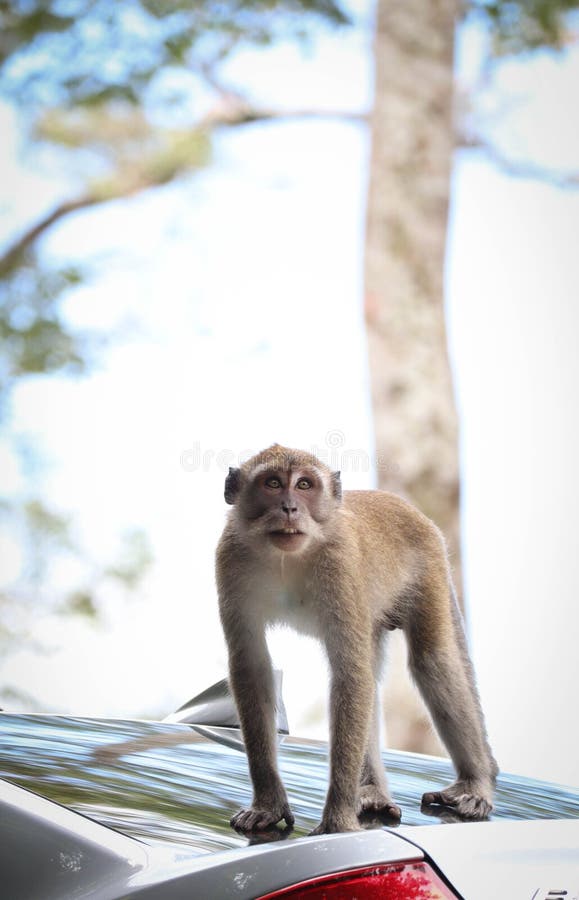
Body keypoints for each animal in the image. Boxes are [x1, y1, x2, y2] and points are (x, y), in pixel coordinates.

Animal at [216, 444, 498, 835]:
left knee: (432, 661)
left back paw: (473, 785)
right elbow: (251, 668)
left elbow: (350, 674)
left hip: (429, 569)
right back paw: (371, 792)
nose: (289, 507)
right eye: (272, 483)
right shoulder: (230, 558)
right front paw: (268, 805)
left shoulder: (340, 564)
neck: (287, 558)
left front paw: (337, 820)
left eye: (304, 485)